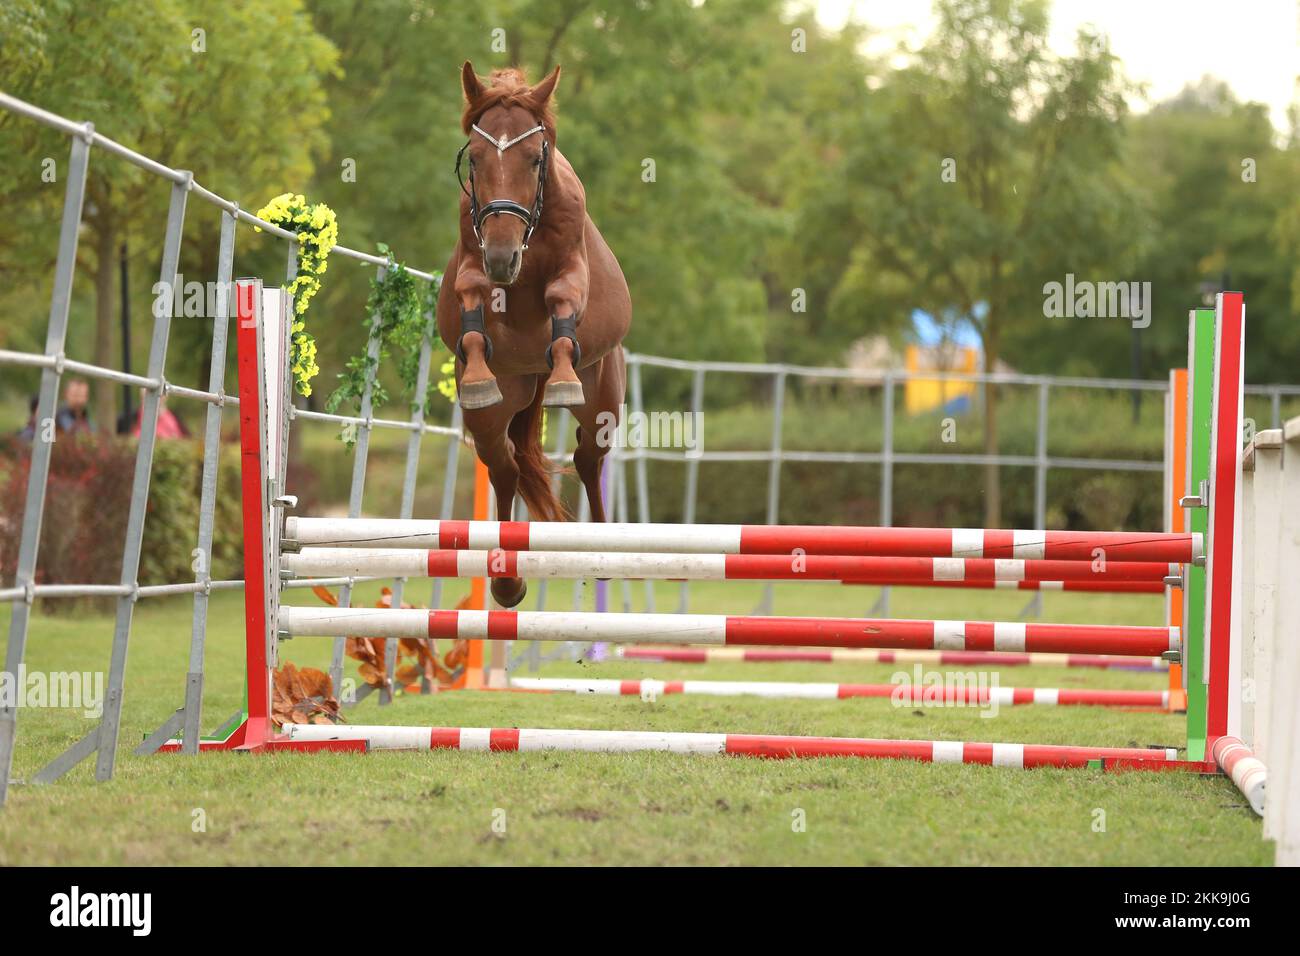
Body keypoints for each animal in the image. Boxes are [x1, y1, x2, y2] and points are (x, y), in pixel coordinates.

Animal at [437, 62, 631, 608]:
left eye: (532, 158)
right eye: (476, 159)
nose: (503, 258)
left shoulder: (571, 270)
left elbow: (563, 302)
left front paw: (564, 373)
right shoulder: (474, 259)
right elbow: (472, 303)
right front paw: (478, 373)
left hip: (603, 395)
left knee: (588, 456)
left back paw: (601, 551)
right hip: (499, 410)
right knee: (504, 467)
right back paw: (506, 580)